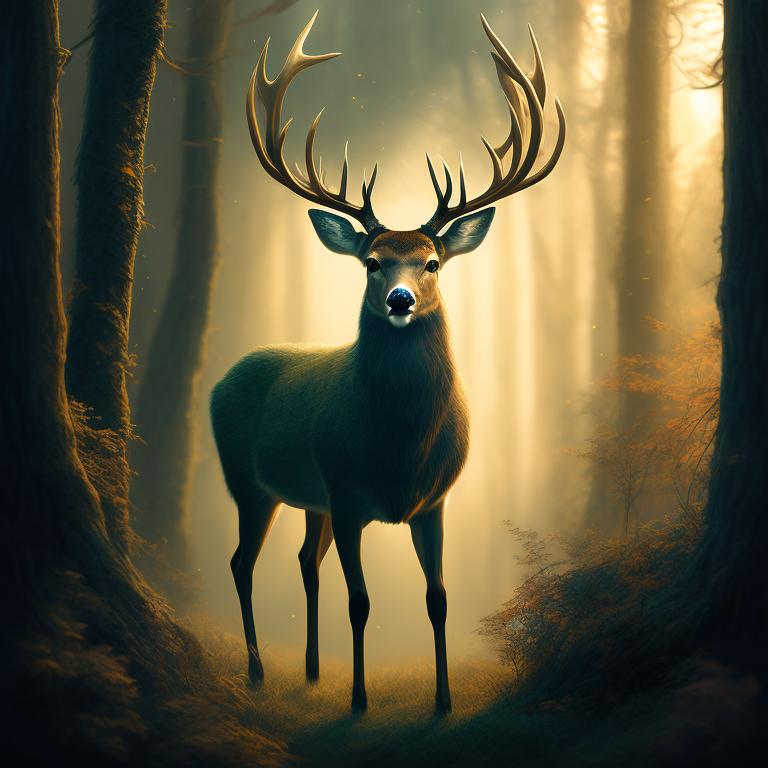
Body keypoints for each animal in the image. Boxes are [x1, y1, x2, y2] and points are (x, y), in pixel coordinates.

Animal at [210, 11, 565, 715]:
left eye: (432, 262)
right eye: (372, 262)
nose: (401, 300)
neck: (399, 448)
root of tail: (222, 377)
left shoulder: (434, 501)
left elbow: (438, 600)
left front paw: (445, 700)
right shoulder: (348, 495)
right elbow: (362, 601)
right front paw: (359, 700)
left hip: (308, 497)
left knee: (302, 561)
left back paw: (311, 669)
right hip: (246, 480)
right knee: (241, 562)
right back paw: (260, 671)